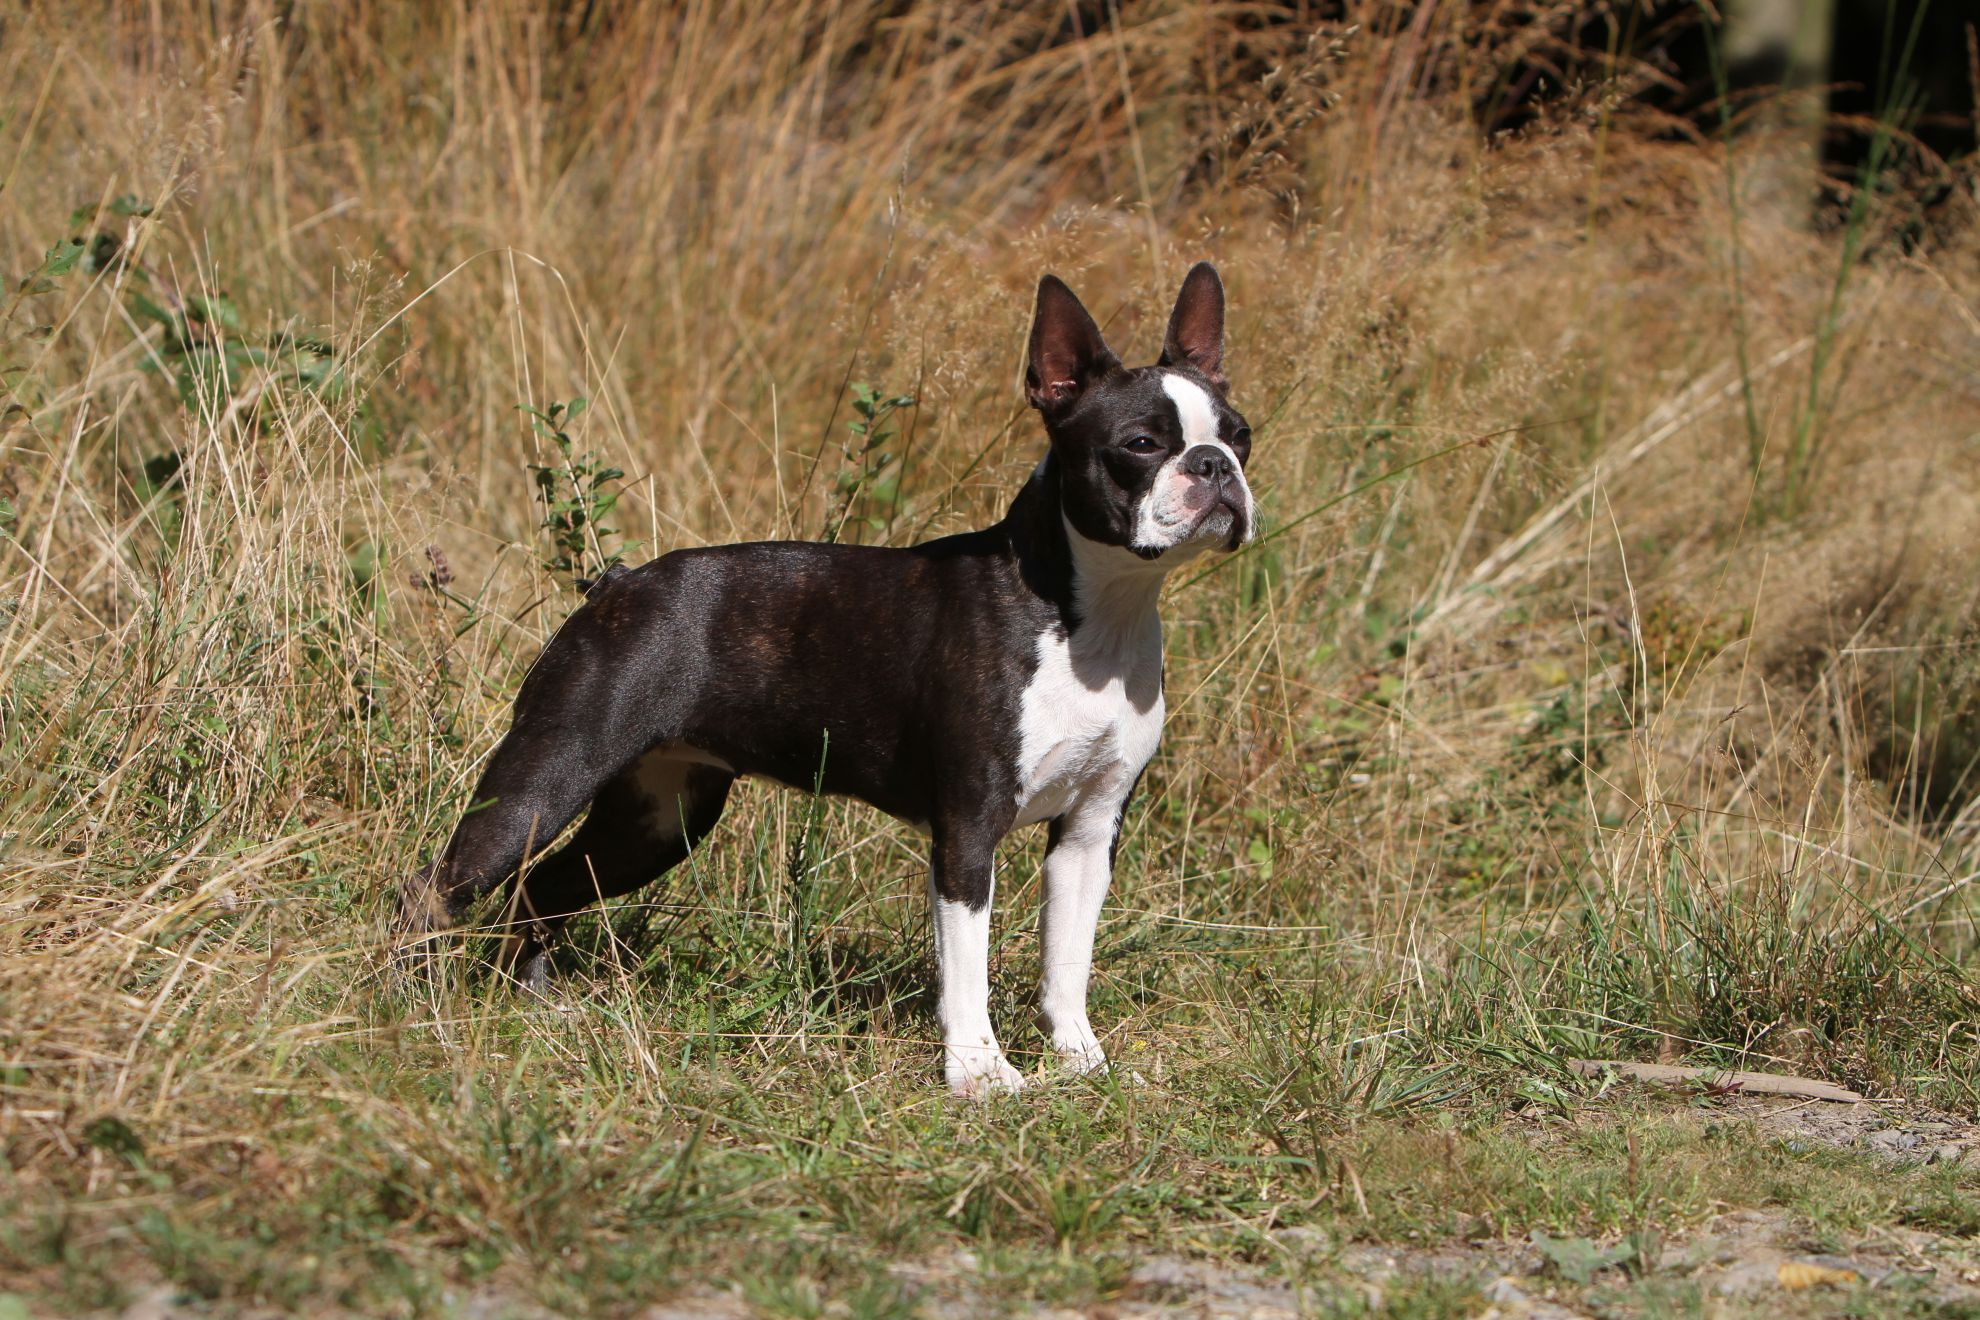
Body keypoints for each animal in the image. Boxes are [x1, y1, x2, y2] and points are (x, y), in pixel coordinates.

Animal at [399, 261, 1251, 1092]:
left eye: (1242, 435)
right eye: (1140, 443)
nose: (1217, 466)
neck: (1094, 614)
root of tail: (617, 585)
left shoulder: (1090, 827)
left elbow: (1067, 961)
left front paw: (1082, 1062)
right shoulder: (968, 827)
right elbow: (966, 969)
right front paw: (979, 1072)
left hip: (658, 818)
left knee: (541, 888)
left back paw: (534, 1010)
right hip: (548, 775)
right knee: (438, 887)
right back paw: (410, 1009)